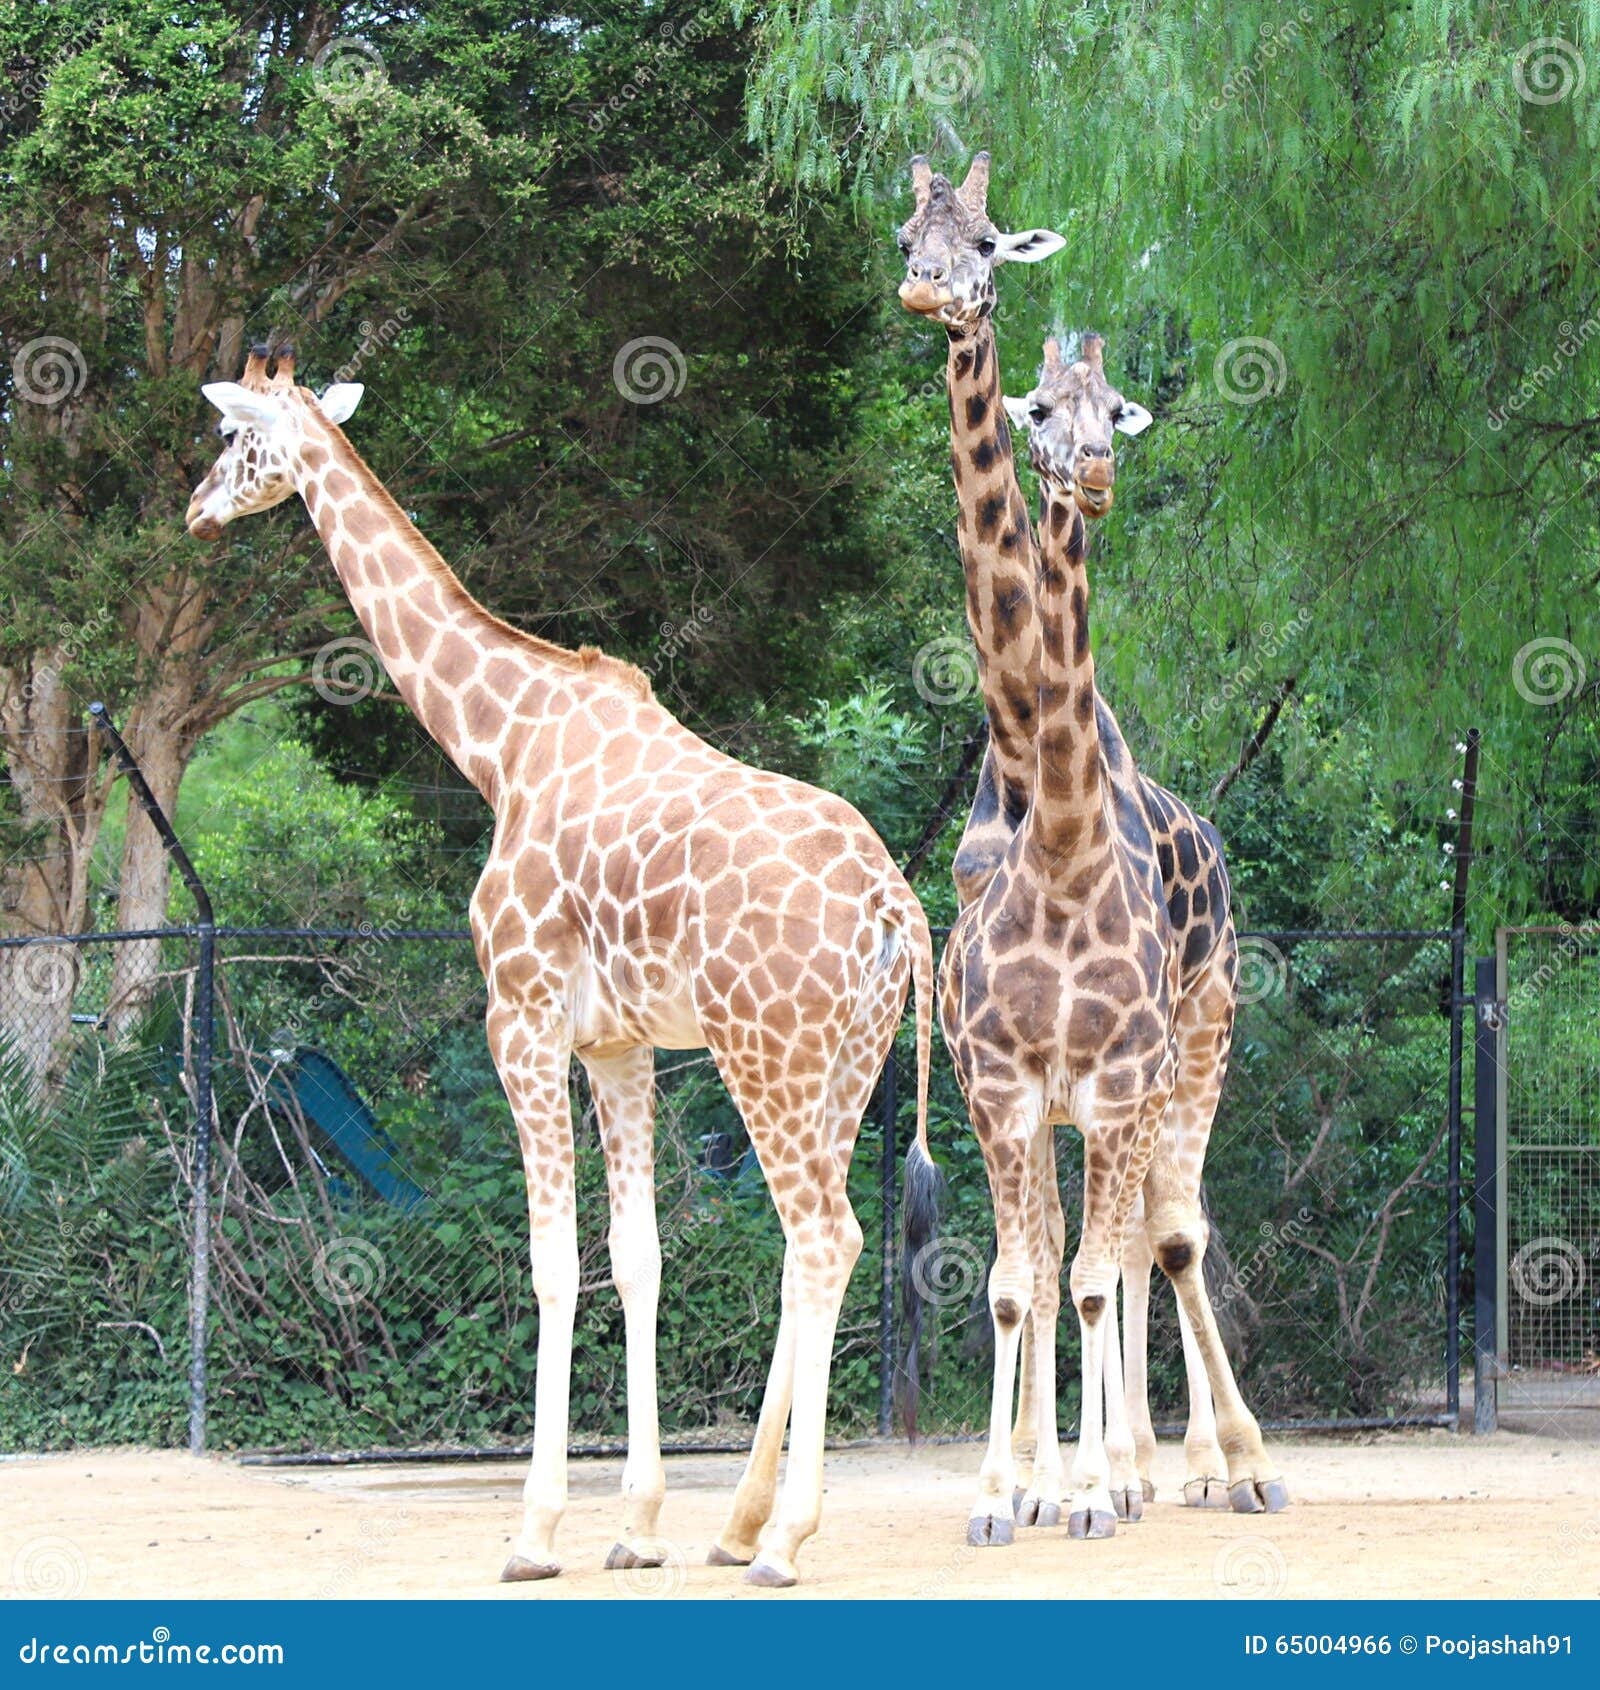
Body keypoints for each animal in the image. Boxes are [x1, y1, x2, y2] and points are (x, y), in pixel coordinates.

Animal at [186, 346, 934, 1589]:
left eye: (235, 440)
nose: (197, 508)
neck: (499, 742)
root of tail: (896, 906)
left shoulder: (521, 1017)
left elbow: (548, 1259)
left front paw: (535, 1531)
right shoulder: (618, 1044)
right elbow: (636, 1258)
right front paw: (634, 1522)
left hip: (763, 1049)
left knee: (826, 1237)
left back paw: (783, 1538)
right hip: (847, 1059)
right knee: (806, 1244)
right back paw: (738, 1523)